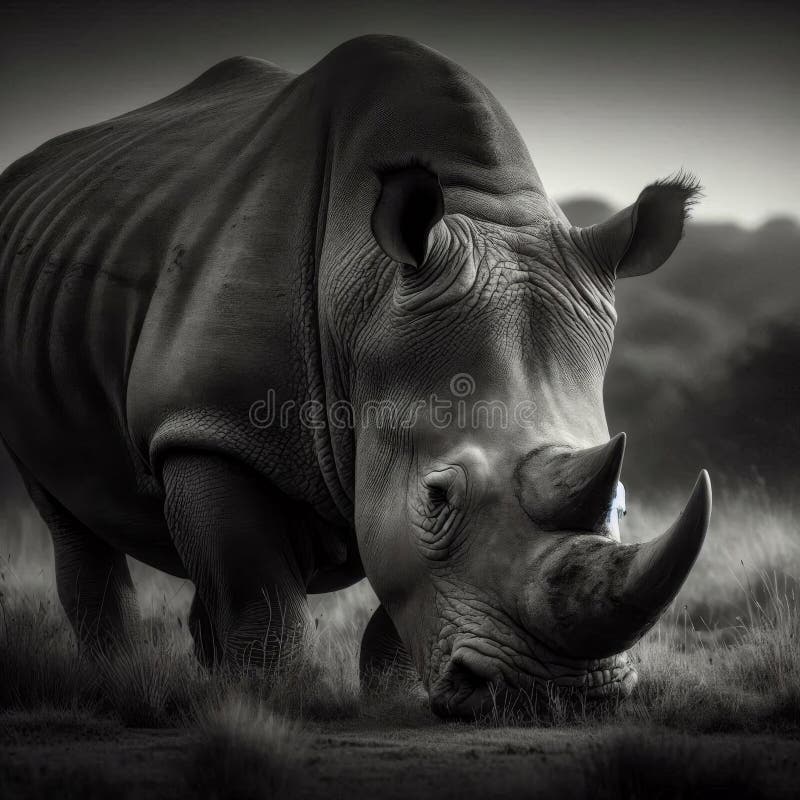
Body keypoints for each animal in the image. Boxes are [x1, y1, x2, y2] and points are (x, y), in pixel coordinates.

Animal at [0, 35, 710, 718]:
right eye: (438, 497)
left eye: (623, 501)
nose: (559, 695)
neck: (362, 300)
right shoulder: (209, 423)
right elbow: (258, 586)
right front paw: (273, 702)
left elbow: (394, 585)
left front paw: (390, 702)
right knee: (66, 508)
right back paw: (114, 682)